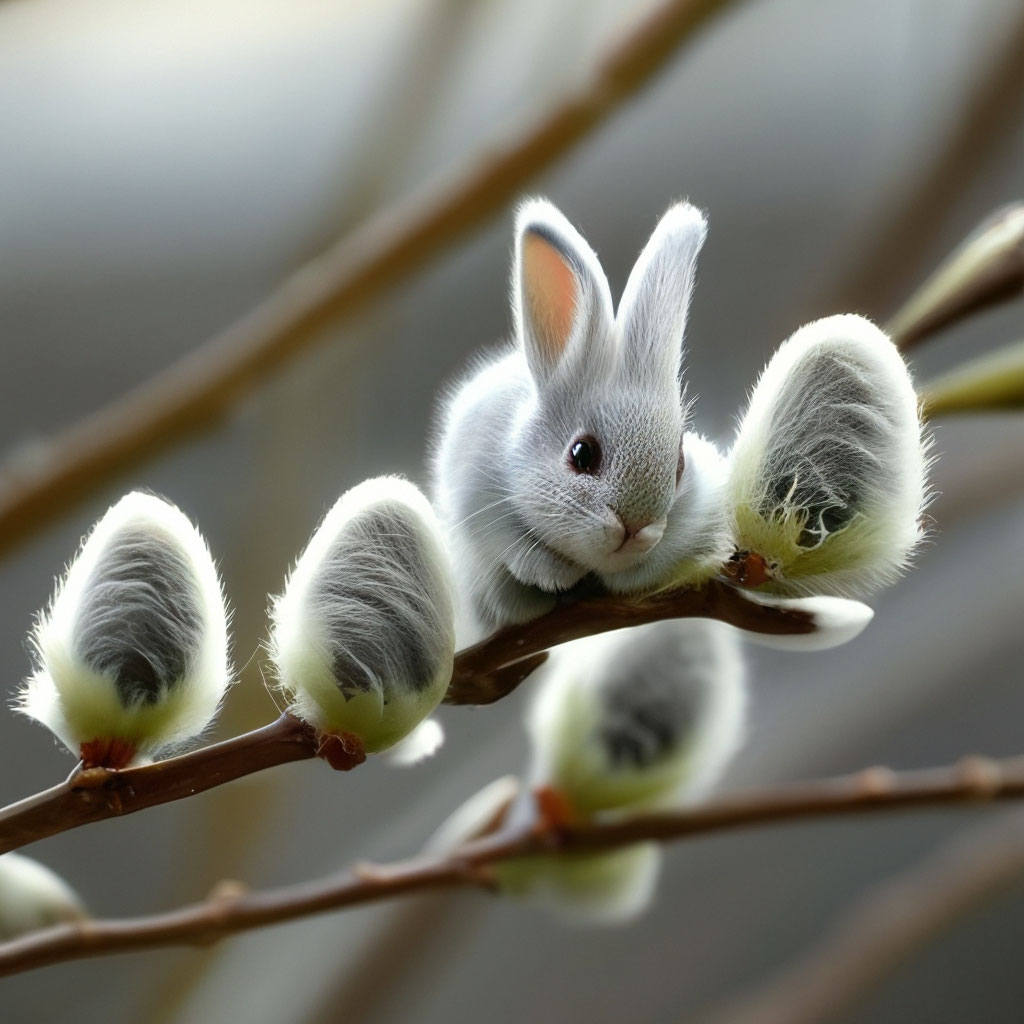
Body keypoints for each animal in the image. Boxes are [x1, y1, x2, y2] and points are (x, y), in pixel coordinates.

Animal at [432, 198, 729, 640]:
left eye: (678, 467)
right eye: (581, 454)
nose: (634, 527)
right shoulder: (477, 496)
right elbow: (511, 544)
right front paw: (553, 576)